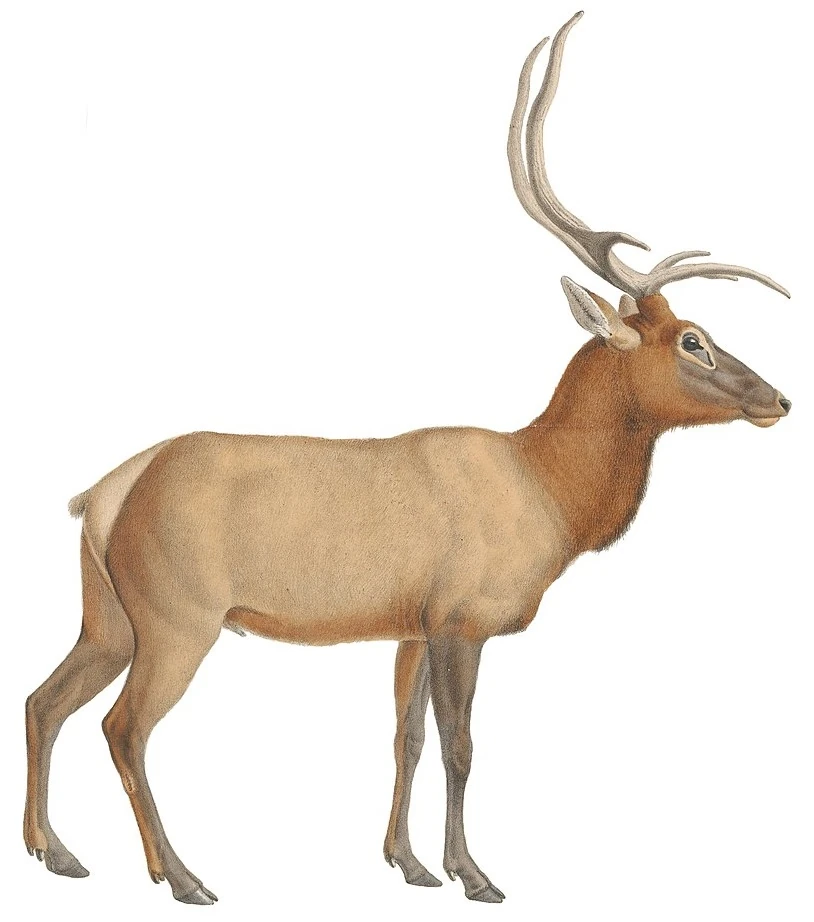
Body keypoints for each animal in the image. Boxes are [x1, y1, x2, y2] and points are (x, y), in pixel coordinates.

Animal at [24, 10, 791, 907]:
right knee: (123, 725)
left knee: (43, 700)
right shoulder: (463, 615)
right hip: (179, 616)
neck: (547, 494)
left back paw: (55, 851)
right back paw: (180, 875)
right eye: (693, 340)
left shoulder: (412, 625)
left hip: (109, 615)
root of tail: (100, 495)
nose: (778, 399)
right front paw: (474, 873)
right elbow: (461, 744)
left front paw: (410, 862)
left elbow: (406, 738)